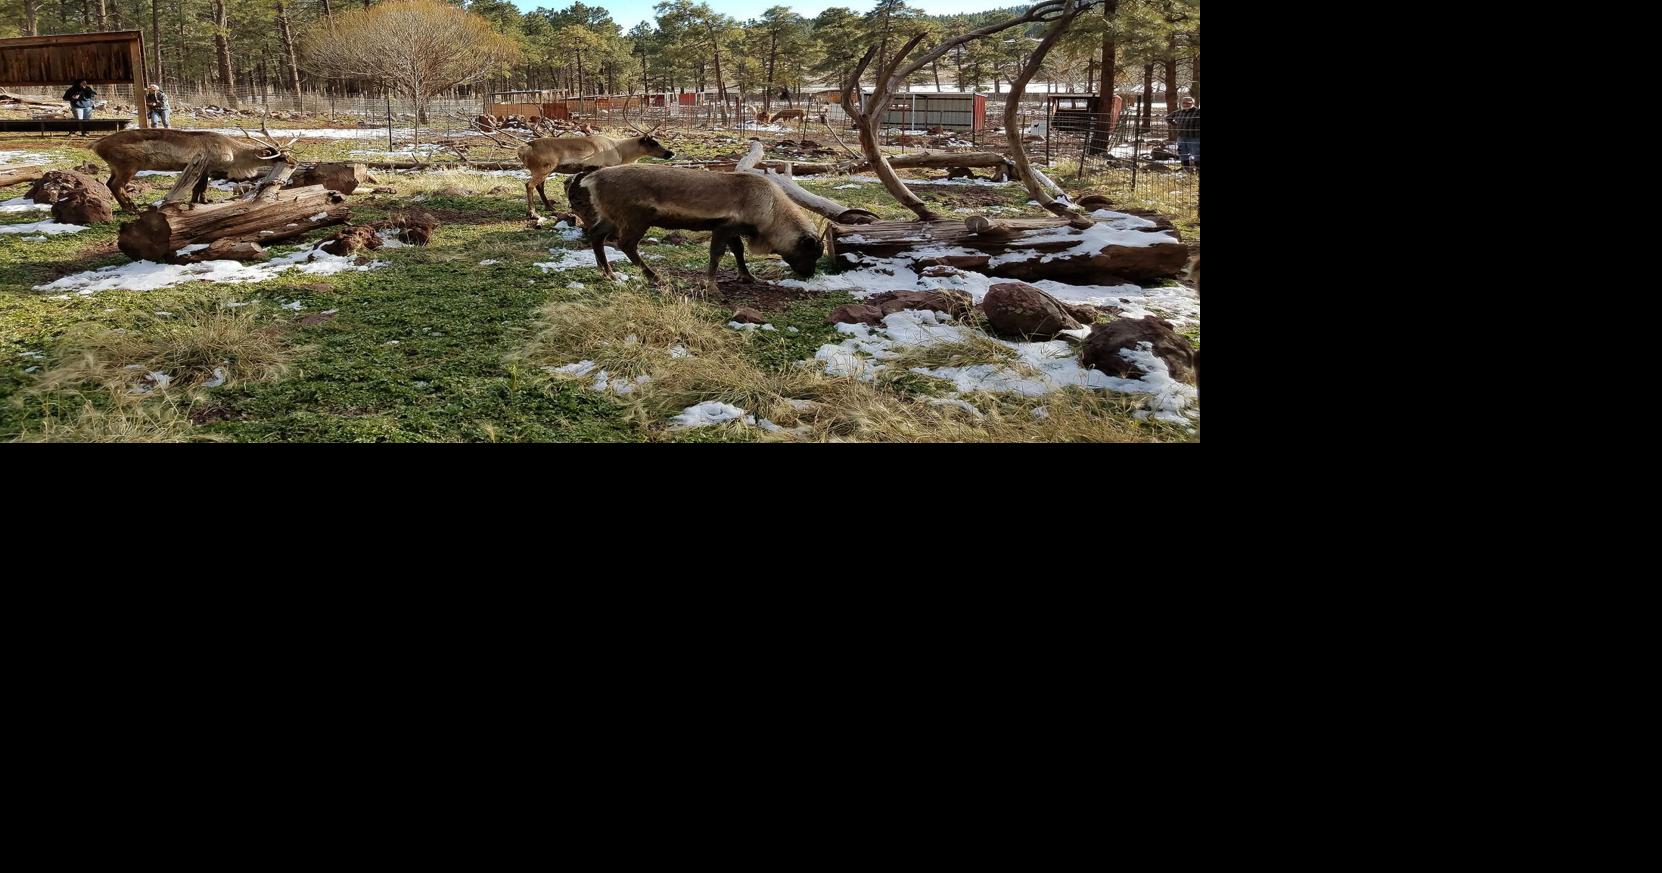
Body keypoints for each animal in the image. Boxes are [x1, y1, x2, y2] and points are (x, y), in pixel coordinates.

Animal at [92, 121, 298, 212]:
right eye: (279, 154)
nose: (295, 162)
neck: (234, 155)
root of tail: (95, 144)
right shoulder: (208, 166)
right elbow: (202, 187)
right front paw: (203, 202)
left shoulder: (203, 169)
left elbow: (198, 188)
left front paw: (198, 202)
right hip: (128, 165)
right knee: (116, 185)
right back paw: (132, 208)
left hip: (115, 167)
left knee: (109, 184)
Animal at [474, 121, 674, 223]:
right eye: (653, 142)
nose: (670, 153)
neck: (620, 150)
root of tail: (524, 148)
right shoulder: (603, 167)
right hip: (543, 168)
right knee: (529, 184)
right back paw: (533, 213)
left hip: (545, 170)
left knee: (539, 186)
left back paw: (550, 207)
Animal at [565, 164, 822, 295]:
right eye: (810, 252)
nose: (809, 274)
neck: (770, 211)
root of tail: (591, 178)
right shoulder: (724, 227)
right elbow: (717, 255)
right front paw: (711, 285)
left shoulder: (732, 229)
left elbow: (738, 252)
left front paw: (748, 276)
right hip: (636, 219)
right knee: (626, 244)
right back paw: (655, 277)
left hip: (610, 217)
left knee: (596, 234)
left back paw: (608, 272)